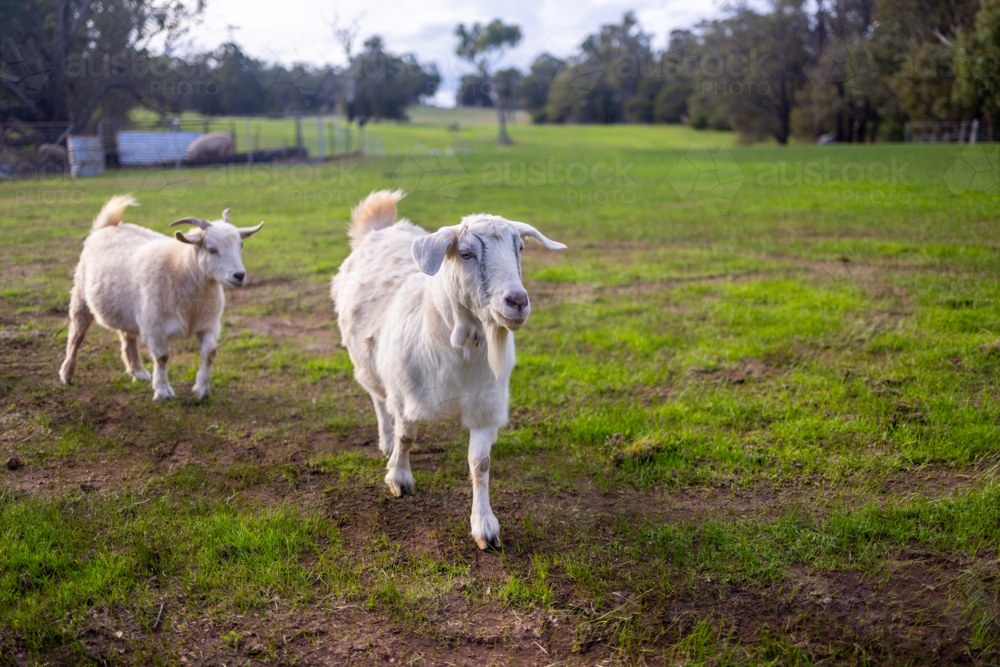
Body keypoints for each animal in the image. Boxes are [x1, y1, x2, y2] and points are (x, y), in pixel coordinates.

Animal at [59, 195, 264, 400]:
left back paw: (138, 372)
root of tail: (107, 226)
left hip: (125, 309)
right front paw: (163, 391)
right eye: (211, 249)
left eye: (241, 245)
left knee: (127, 337)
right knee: (76, 335)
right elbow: (162, 358)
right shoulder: (155, 327)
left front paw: (202, 389)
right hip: (80, 296)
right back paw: (67, 374)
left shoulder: (208, 324)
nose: (239, 275)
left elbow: (210, 353)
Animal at [331, 190, 566, 549]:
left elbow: (480, 464)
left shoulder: (485, 405)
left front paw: (485, 526)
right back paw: (384, 439)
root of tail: (382, 227)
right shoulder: (405, 393)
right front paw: (399, 477)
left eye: (521, 249)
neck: (458, 345)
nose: (517, 301)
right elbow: (406, 436)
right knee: (377, 399)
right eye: (466, 253)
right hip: (367, 363)